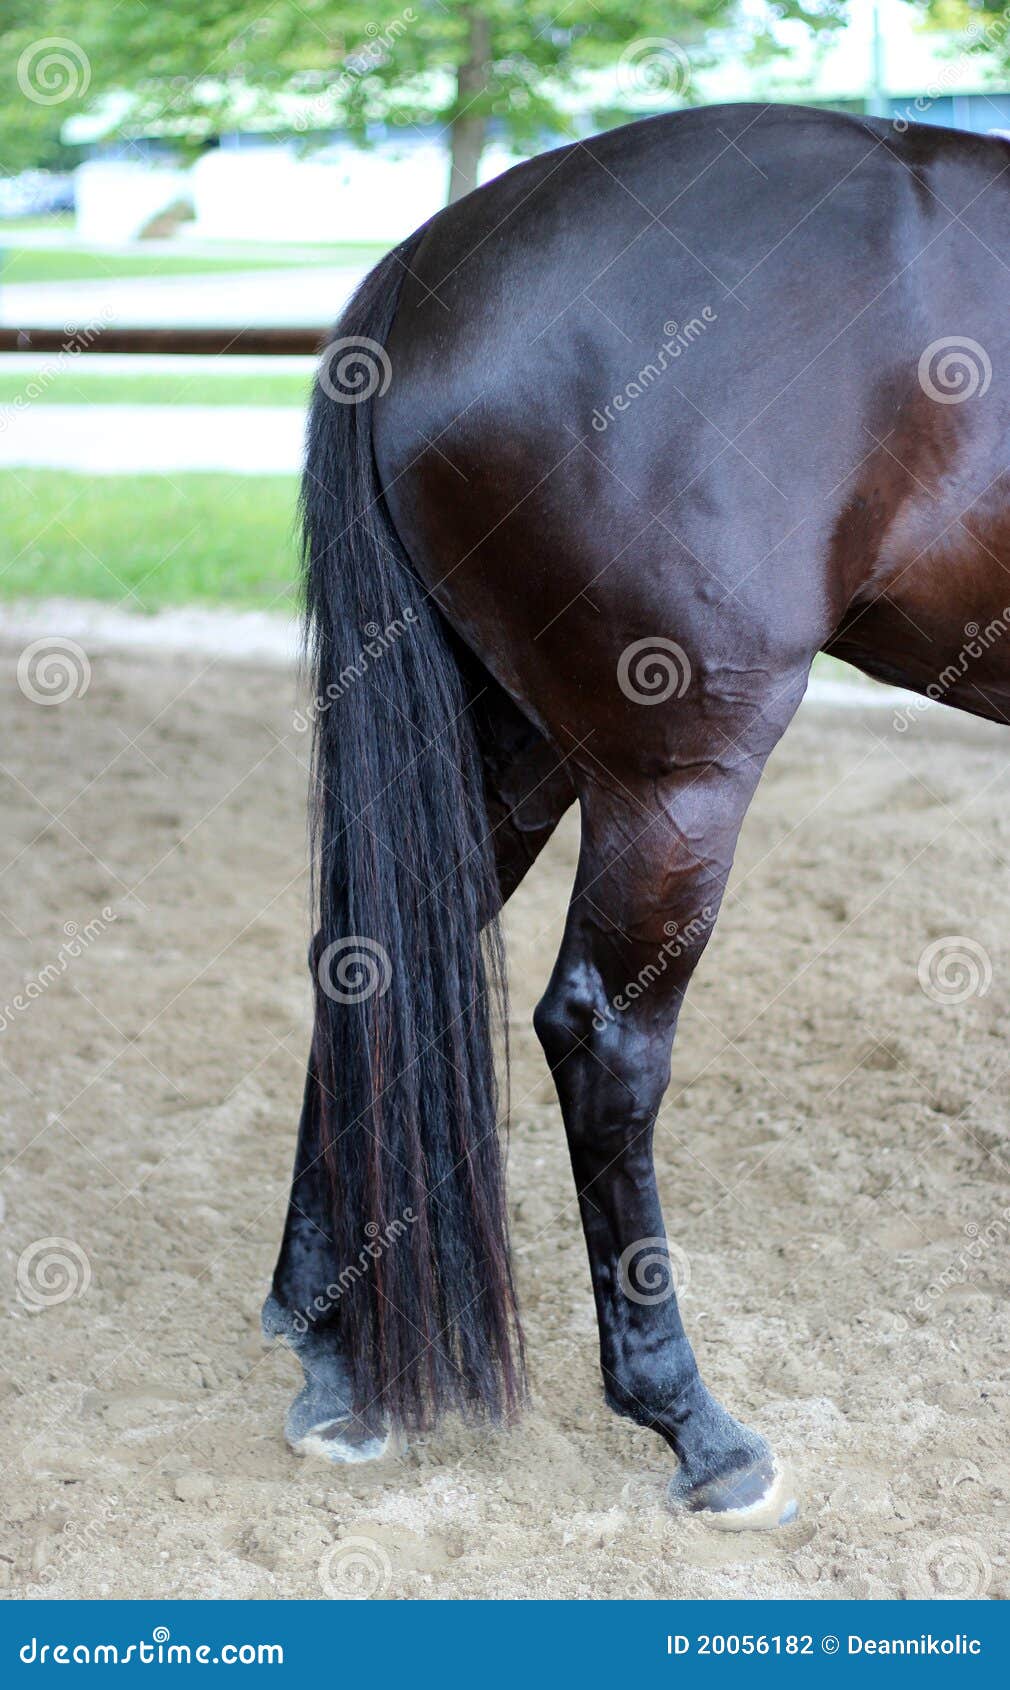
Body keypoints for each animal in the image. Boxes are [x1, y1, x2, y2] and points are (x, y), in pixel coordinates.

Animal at [261, 101, 1010, 1529]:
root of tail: (424, 272)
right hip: (673, 781)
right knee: (602, 1043)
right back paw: (695, 1427)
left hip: (512, 747)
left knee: (366, 964)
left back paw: (325, 1351)